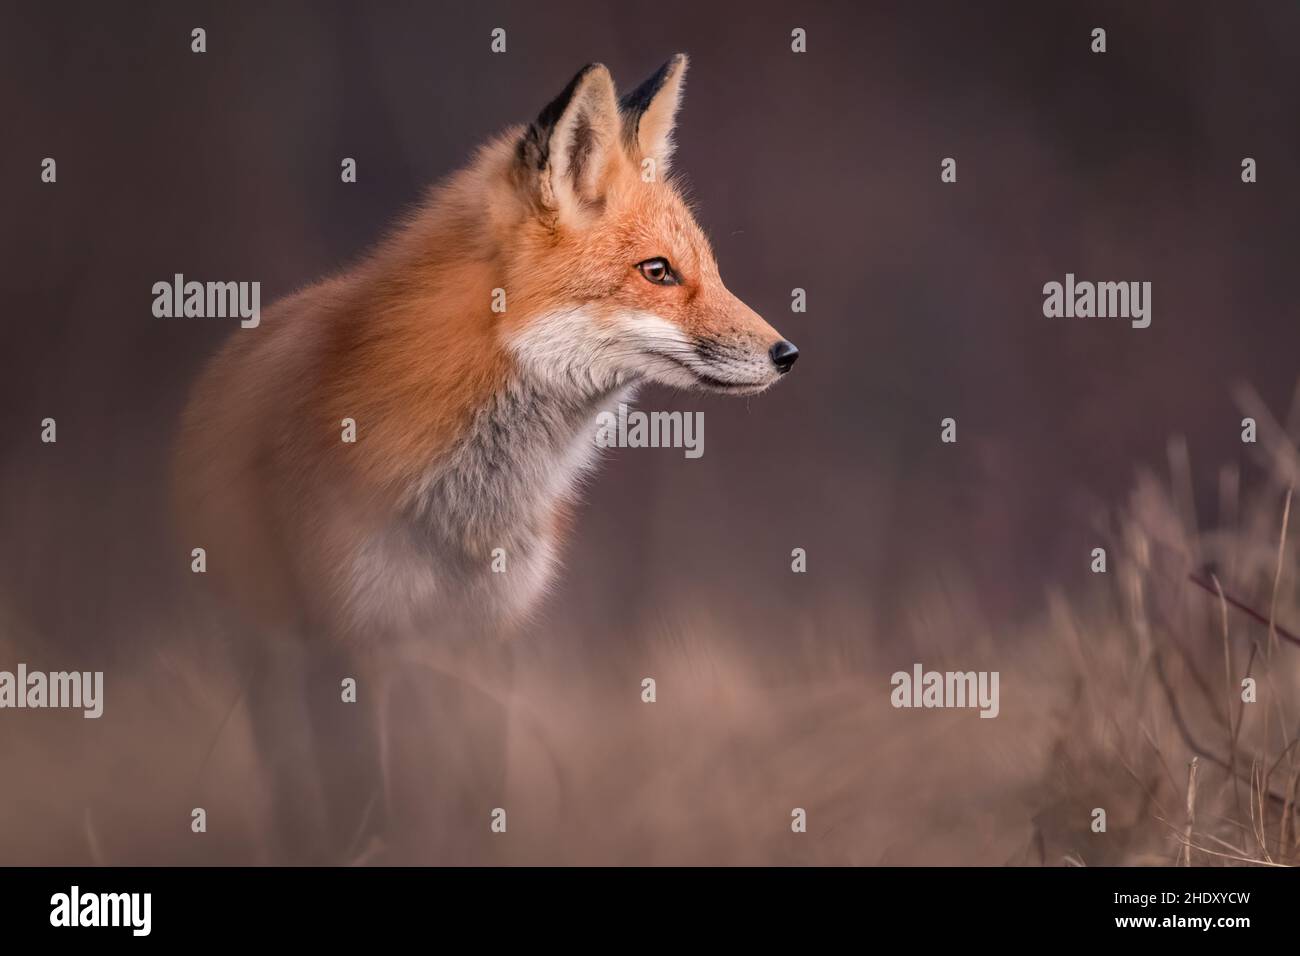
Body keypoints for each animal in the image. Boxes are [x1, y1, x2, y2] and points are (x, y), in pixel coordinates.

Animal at [173, 54, 798, 862]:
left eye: (709, 270)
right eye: (658, 271)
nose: (786, 354)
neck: (463, 504)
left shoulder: (489, 636)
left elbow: (479, 796)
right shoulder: (341, 639)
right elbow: (356, 807)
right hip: (270, 652)